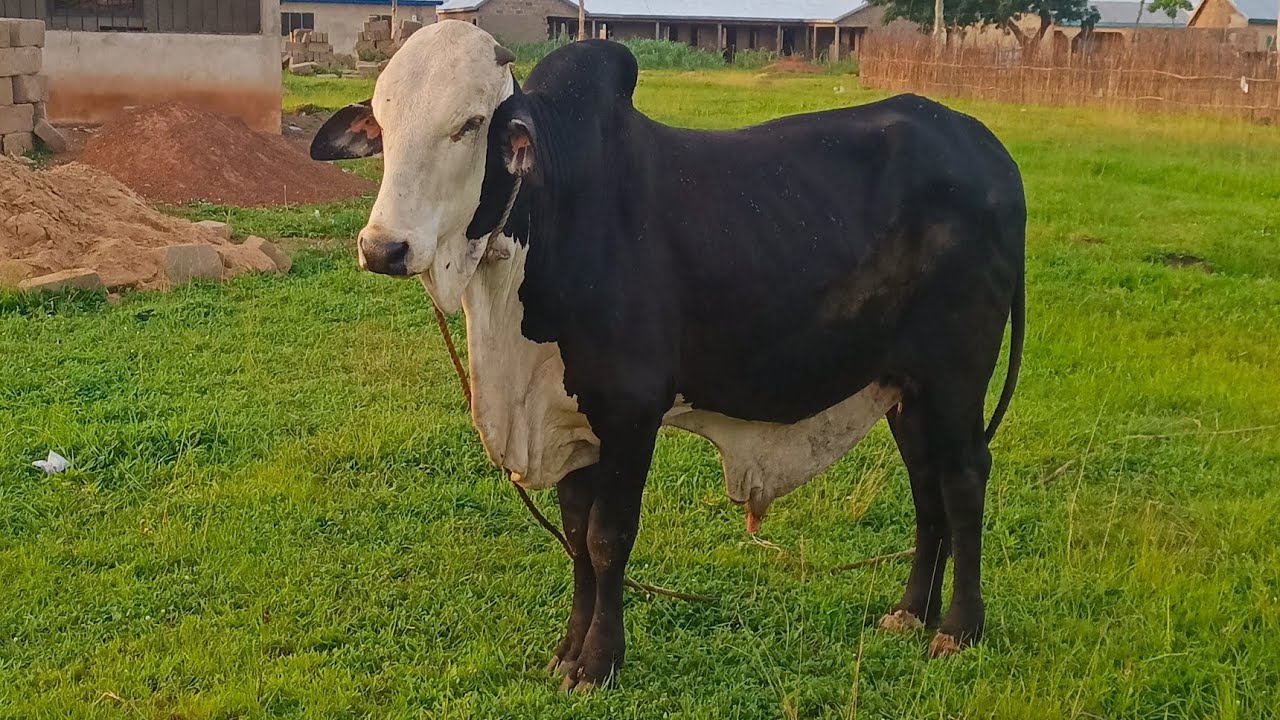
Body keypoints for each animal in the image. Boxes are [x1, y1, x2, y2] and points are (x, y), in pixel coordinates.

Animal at [312, 20, 1026, 691]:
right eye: (383, 125)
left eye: (468, 125)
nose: (383, 248)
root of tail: (983, 144)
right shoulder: (568, 419)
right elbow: (575, 538)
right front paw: (567, 652)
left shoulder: (630, 411)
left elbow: (607, 539)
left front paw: (599, 662)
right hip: (905, 387)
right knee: (927, 486)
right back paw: (910, 613)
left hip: (957, 376)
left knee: (964, 481)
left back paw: (958, 628)